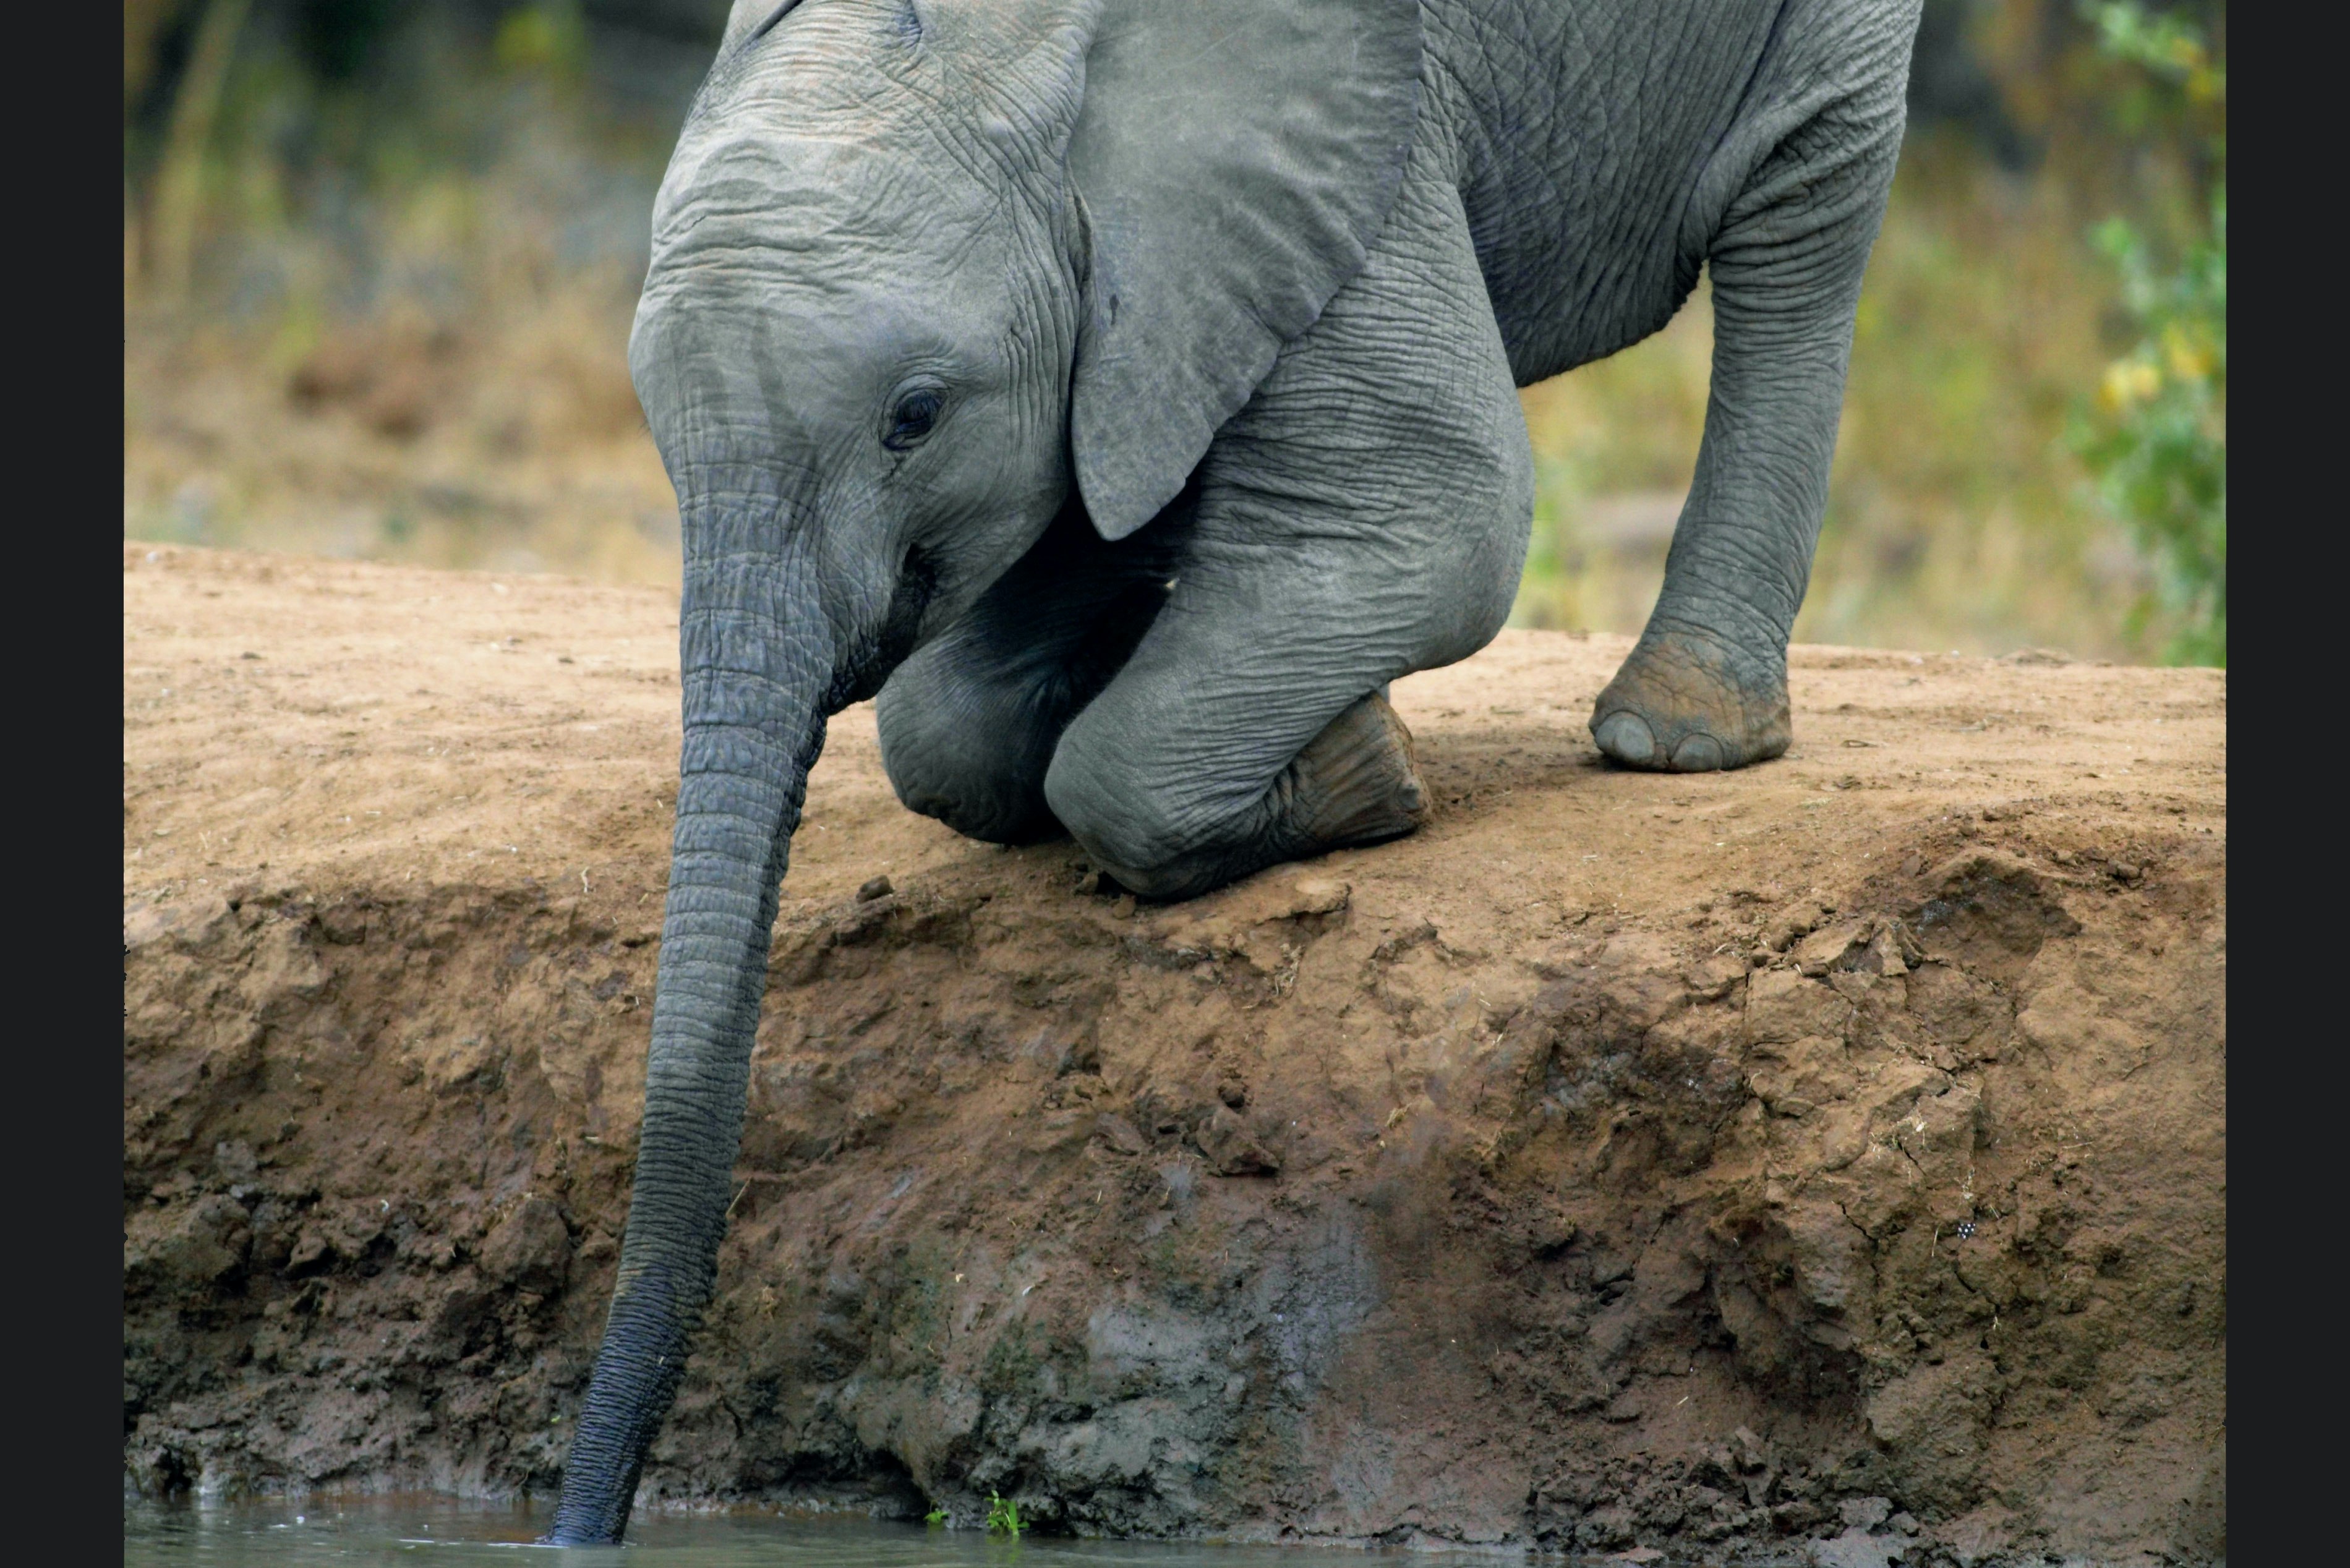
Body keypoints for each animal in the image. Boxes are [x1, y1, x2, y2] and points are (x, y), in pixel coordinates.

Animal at [544, 0, 1919, 1541]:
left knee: (1804, 207)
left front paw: (1365, 769)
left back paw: (1669, 736)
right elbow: (973, 687)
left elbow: (1438, 519)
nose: (582, 1528)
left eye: (914, 414)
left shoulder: (1339, 164)